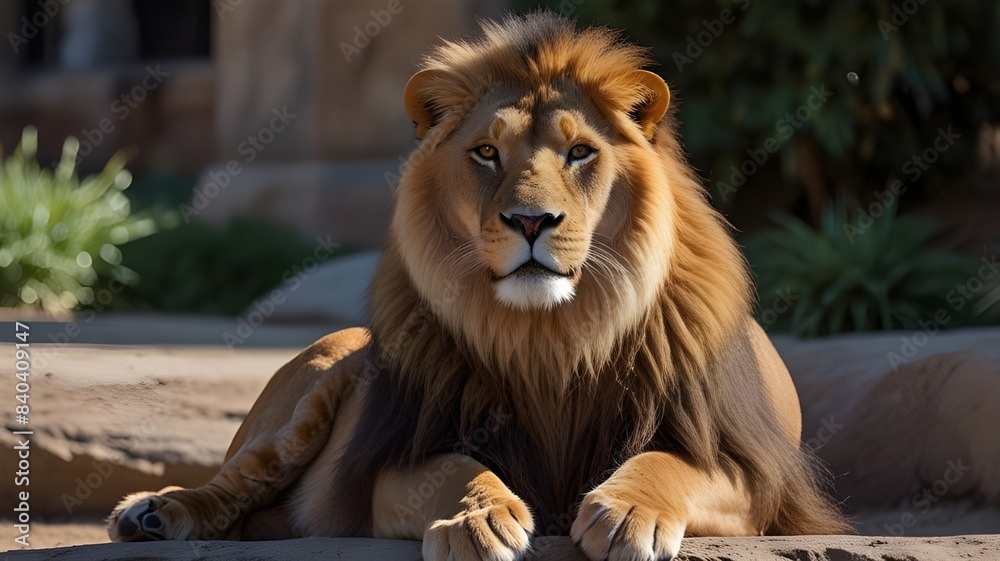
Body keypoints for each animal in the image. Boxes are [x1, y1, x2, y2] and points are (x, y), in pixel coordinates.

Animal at [107, 13, 851, 560]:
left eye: (580, 152)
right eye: (487, 153)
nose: (531, 220)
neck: (554, 336)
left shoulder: (754, 473)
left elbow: (670, 462)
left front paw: (626, 510)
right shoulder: (389, 459)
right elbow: (455, 469)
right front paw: (480, 516)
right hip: (317, 375)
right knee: (236, 481)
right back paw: (153, 513)